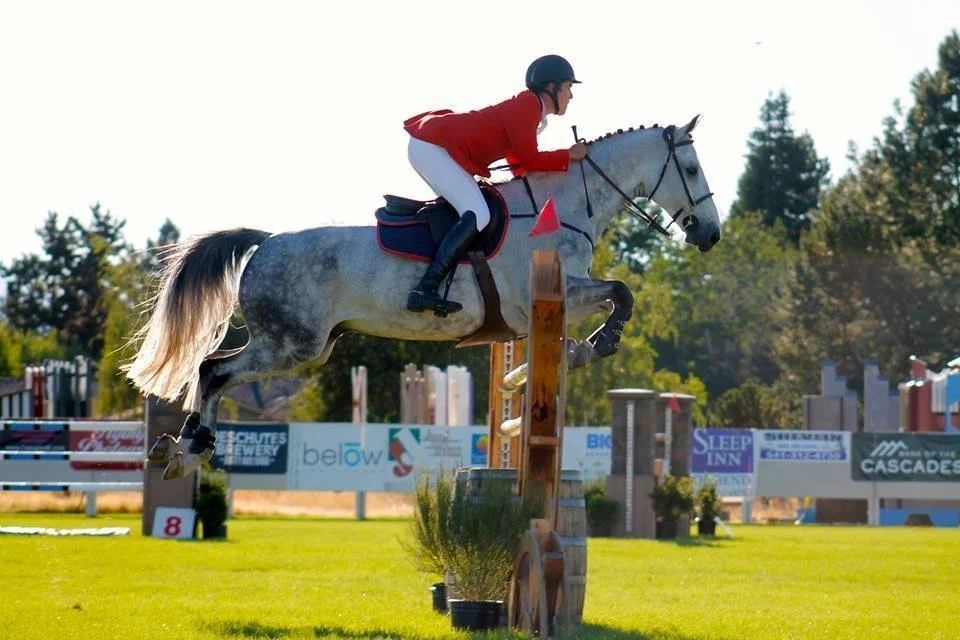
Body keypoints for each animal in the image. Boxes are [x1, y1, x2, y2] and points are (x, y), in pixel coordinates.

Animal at [124, 115, 721, 480]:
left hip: (299, 346)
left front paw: (584, 346)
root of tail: (267, 241)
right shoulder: (552, 296)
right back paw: (189, 449)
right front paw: (599, 342)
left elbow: (616, 293)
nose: (711, 234)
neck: (566, 202)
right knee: (212, 371)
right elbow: (621, 291)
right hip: (292, 345)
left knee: (213, 370)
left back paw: (184, 449)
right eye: (691, 169)